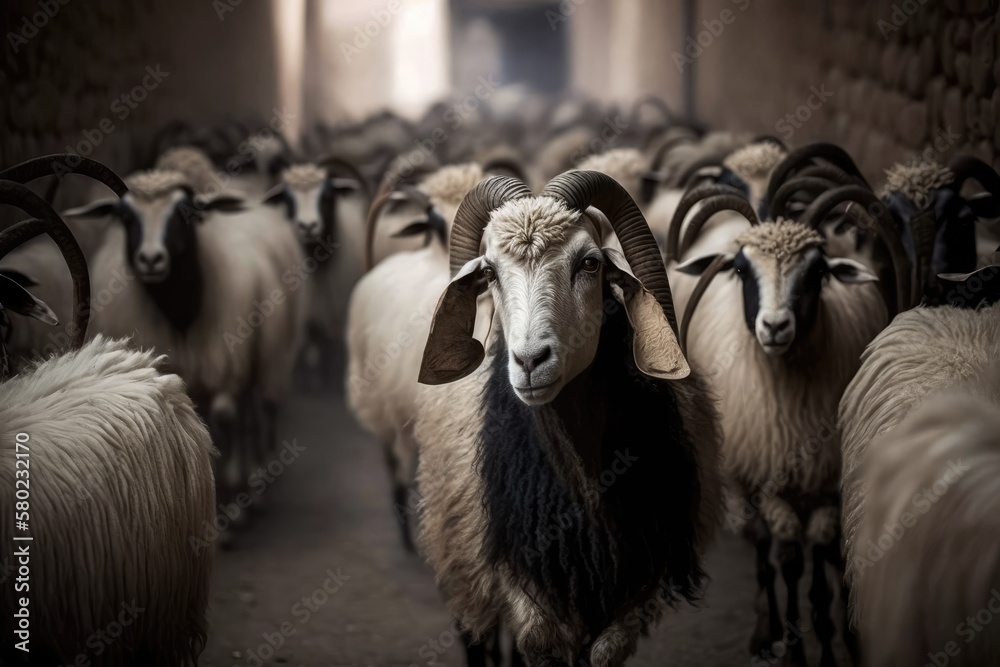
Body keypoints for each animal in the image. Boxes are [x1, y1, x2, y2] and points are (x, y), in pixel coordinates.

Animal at [413, 171, 723, 666]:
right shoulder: (522, 582)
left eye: (589, 263)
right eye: (489, 273)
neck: (586, 483)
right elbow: (538, 644)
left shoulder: (640, 584)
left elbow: (604, 654)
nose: (530, 361)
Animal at [672, 184, 910, 665]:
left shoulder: (829, 484)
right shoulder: (770, 485)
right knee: (764, 553)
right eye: (740, 269)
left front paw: (836, 647)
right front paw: (795, 649)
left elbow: (822, 564)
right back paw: (766, 631)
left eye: (818, 271)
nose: (775, 326)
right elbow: (789, 562)